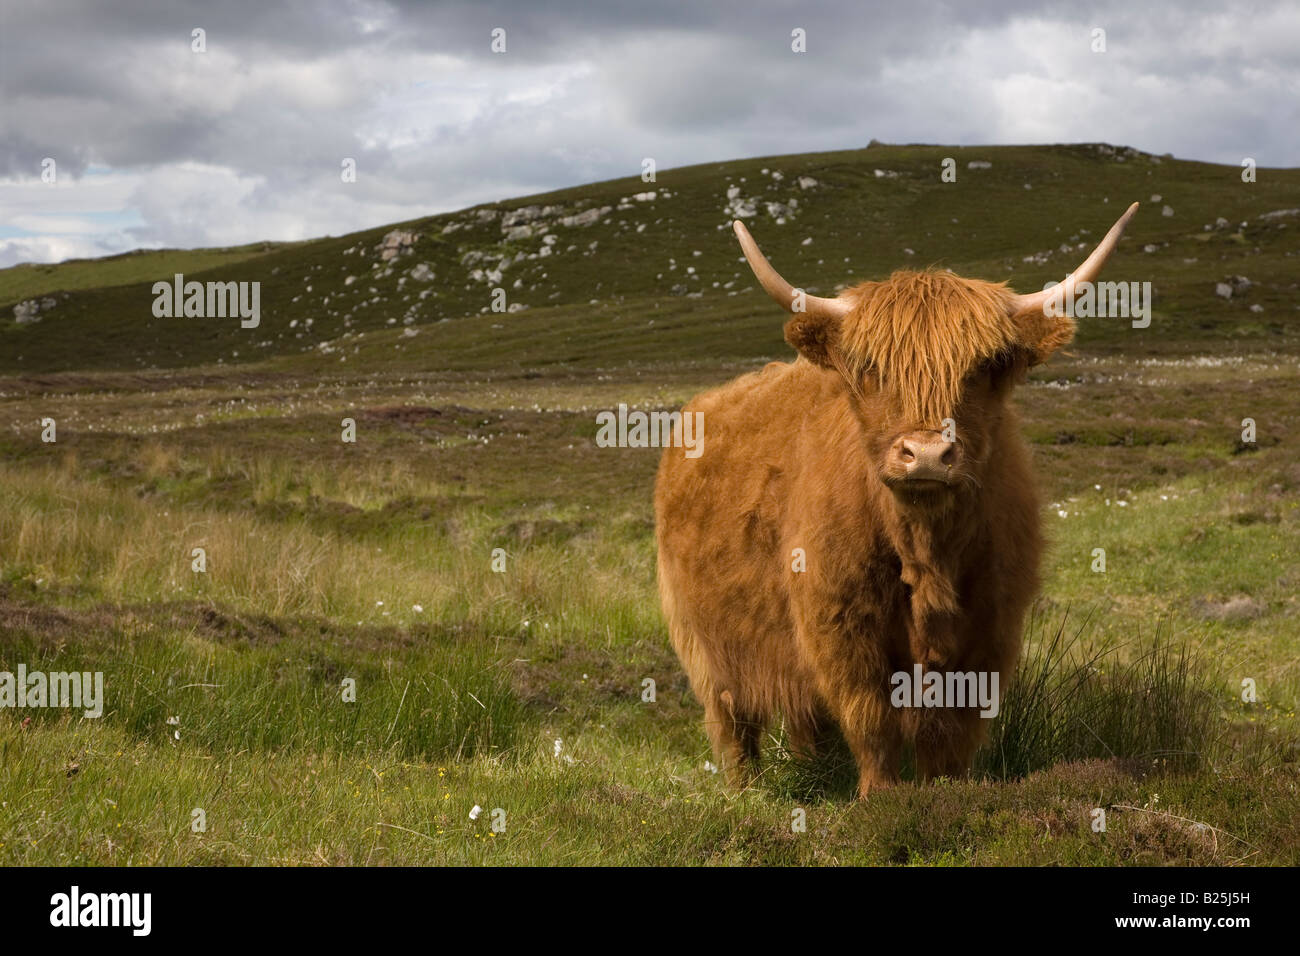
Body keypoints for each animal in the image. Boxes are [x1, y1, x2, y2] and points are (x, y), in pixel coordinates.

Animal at [654, 203, 1139, 797]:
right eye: (871, 367)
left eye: (986, 365)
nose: (927, 454)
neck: (925, 551)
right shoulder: (840, 625)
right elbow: (873, 719)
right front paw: (880, 799)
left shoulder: (991, 627)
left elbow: (949, 733)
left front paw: (944, 795)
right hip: (704, 641)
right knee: (732, 718)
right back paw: (745, 789)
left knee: (803, 720)